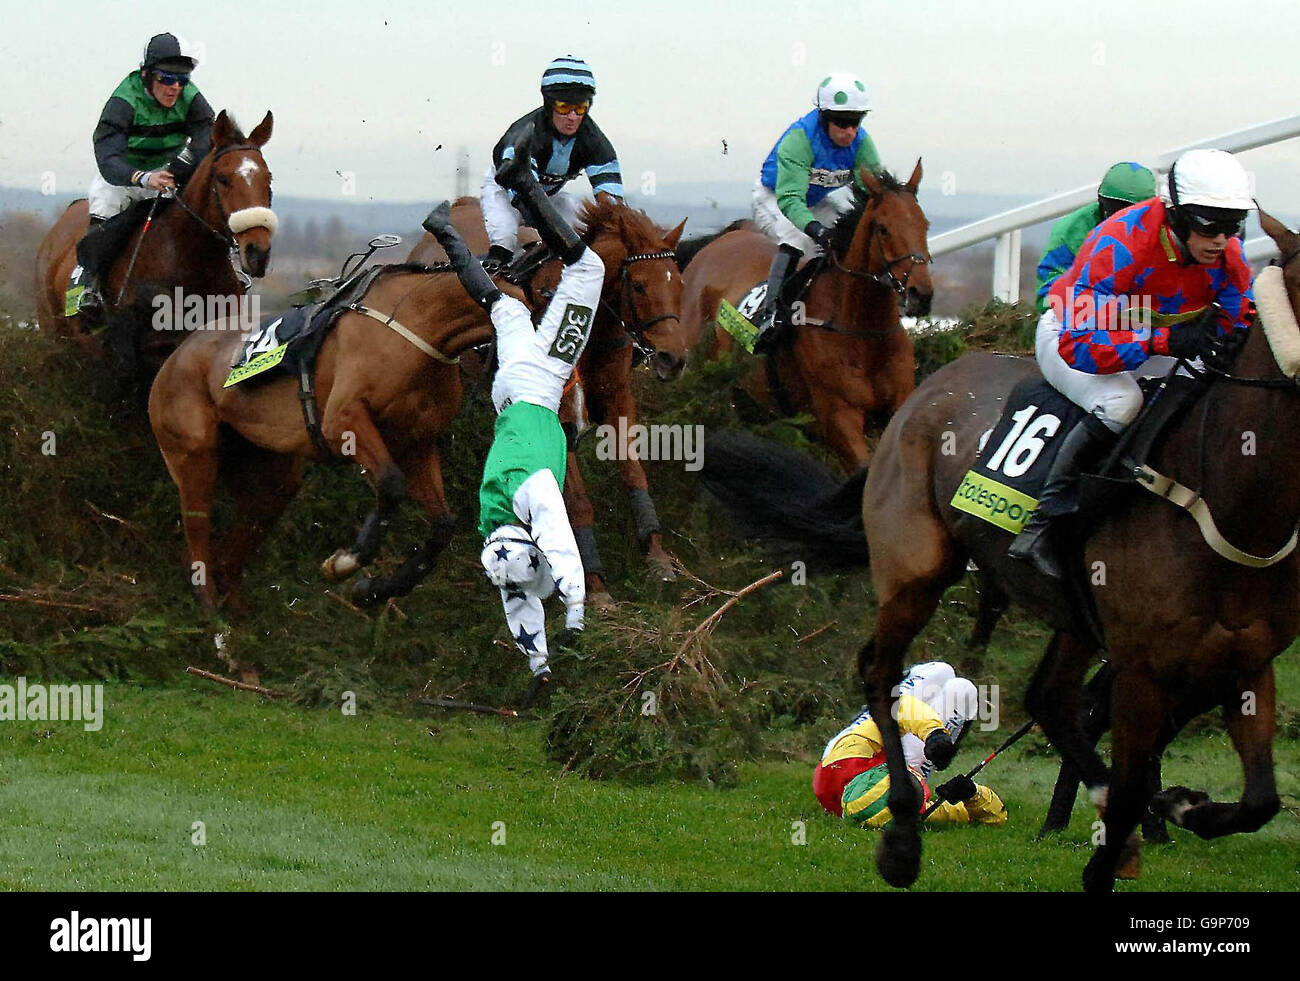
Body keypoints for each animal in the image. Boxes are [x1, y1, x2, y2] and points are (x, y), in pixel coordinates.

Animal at [35, 110, 276, 384]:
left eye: (268, 178)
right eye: (223, 179)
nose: (257, 252)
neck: (187, 261)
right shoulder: (140, 354)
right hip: (54, 332)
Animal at [147, 198, 686, 629]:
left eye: (677, 282)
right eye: (637, 286)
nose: (671, 357)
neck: (423, 326)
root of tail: (176, 355)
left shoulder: (418, 443)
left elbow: (442, 526)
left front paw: (374, 589)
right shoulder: (344, 423)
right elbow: (390, 486)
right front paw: (347, 562)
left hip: (273, 472)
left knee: (235, 543)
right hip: (193, 459)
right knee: (198, 540)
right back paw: (217, 629)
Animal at [679, 163, 932, 471]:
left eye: (924, 224)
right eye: (883, 229)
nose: (921, 294)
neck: (861, 331)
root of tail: (720, 241)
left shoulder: (899, 404)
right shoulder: (839, 419)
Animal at [848, 209, 1300, 892]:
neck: (1224, 497)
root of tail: (932, 385)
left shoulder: (1246, 660)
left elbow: (1259, 801)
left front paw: (1178, 808)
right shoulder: (1143, 669)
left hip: (1073, 616)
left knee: (1050, 697)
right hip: (916, 572)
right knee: (880, 670)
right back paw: (902, 837)